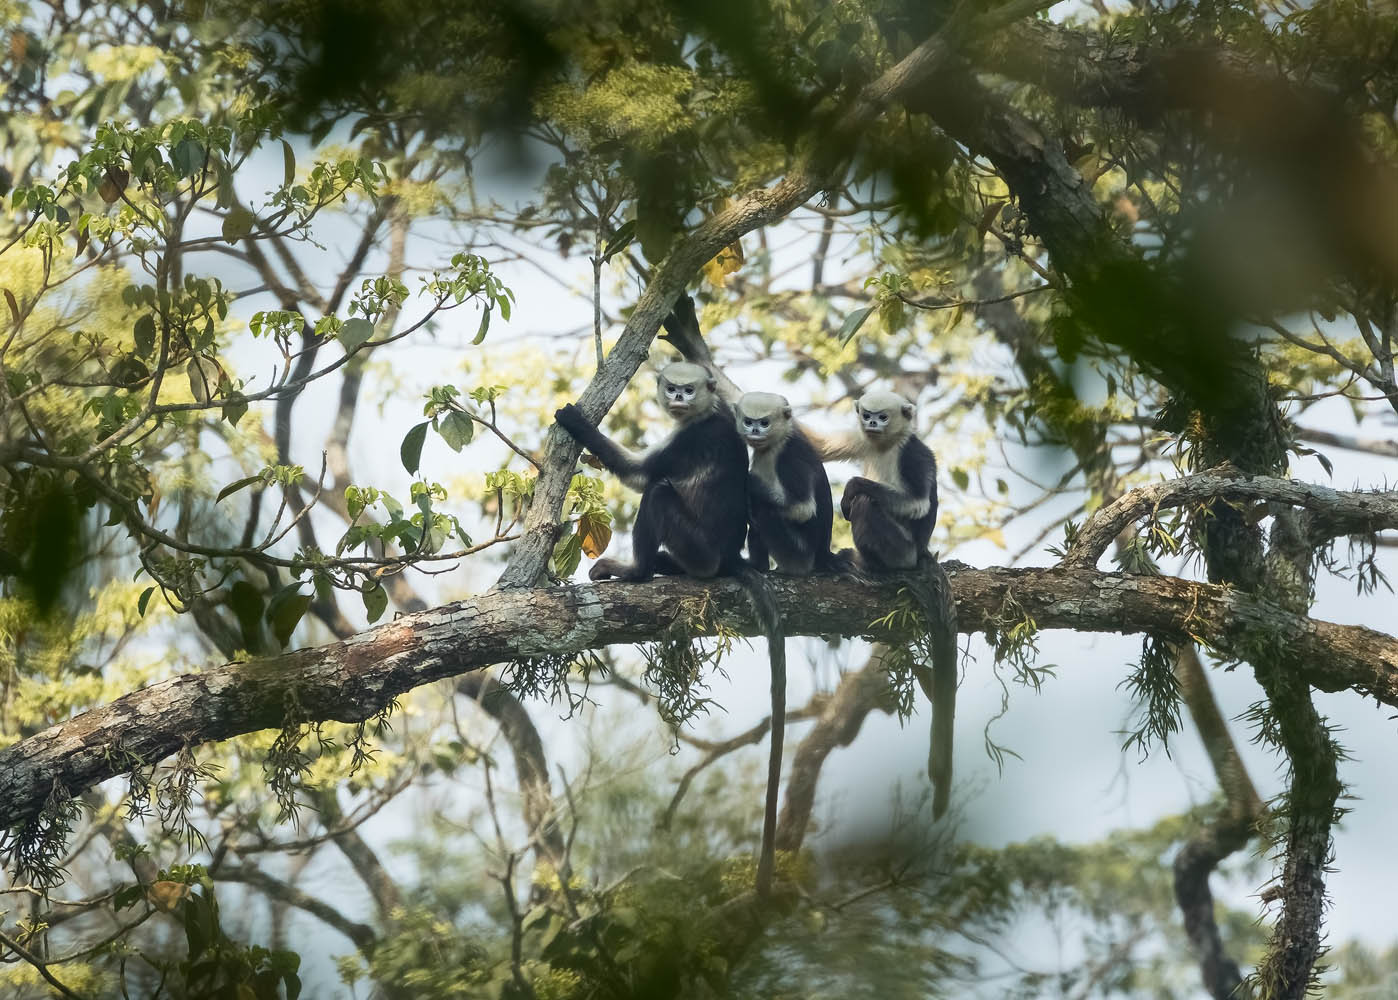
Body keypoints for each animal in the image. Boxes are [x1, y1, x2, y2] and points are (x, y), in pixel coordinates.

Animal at [553, 361, 748, 583]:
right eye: (671, 389)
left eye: (689, 391)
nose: (678, 397)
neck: (707, 411)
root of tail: (729, 558)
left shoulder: (689, 438)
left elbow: (639, 475)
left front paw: (574, 421)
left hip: (701, 554)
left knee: (657, 492)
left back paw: (637, 571)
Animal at [734, 391, 847, 576]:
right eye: (748, 422)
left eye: (764, 423)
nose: (755, 431)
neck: (779, 441)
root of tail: (823, 556)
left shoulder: (789, 457)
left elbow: (803, 509)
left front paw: (749, 481)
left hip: (796, 554)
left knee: (763, 511)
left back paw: (758, 565)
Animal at [821, 389, 957, 819]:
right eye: (867, 415)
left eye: (882, 416)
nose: (872, 423)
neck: (885, 446)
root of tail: (919, 556)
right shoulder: (860, 440)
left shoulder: (913, 454)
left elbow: (915, 503)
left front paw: (850, 487)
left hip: (899, 548)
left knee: (866, 504)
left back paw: (868, 565)